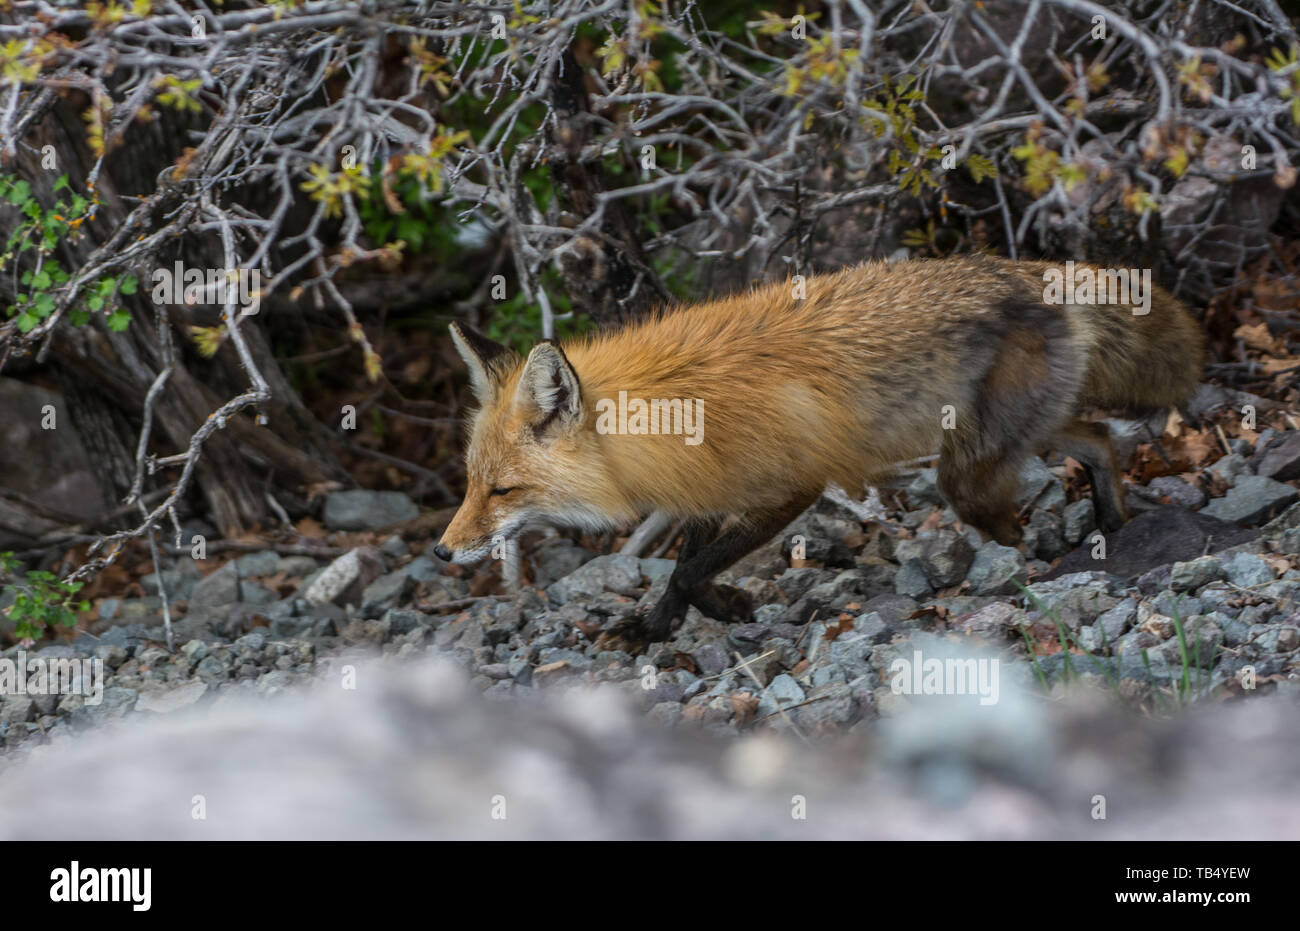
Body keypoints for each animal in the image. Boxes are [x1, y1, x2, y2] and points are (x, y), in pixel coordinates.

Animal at [434, 254, 1204, 643]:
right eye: (469, 484)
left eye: (503, 491)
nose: (442, 552)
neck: (671, 411)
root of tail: (1029, 272)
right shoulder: (709, 491)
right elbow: (685, 565)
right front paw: (664, 624)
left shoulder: (791, 487)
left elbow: (690, 566)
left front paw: (716, 608)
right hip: (1023, 433)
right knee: (1099, 437)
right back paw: (1110, 521)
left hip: (967, 474)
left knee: (1015, 520)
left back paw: (1030, 572)